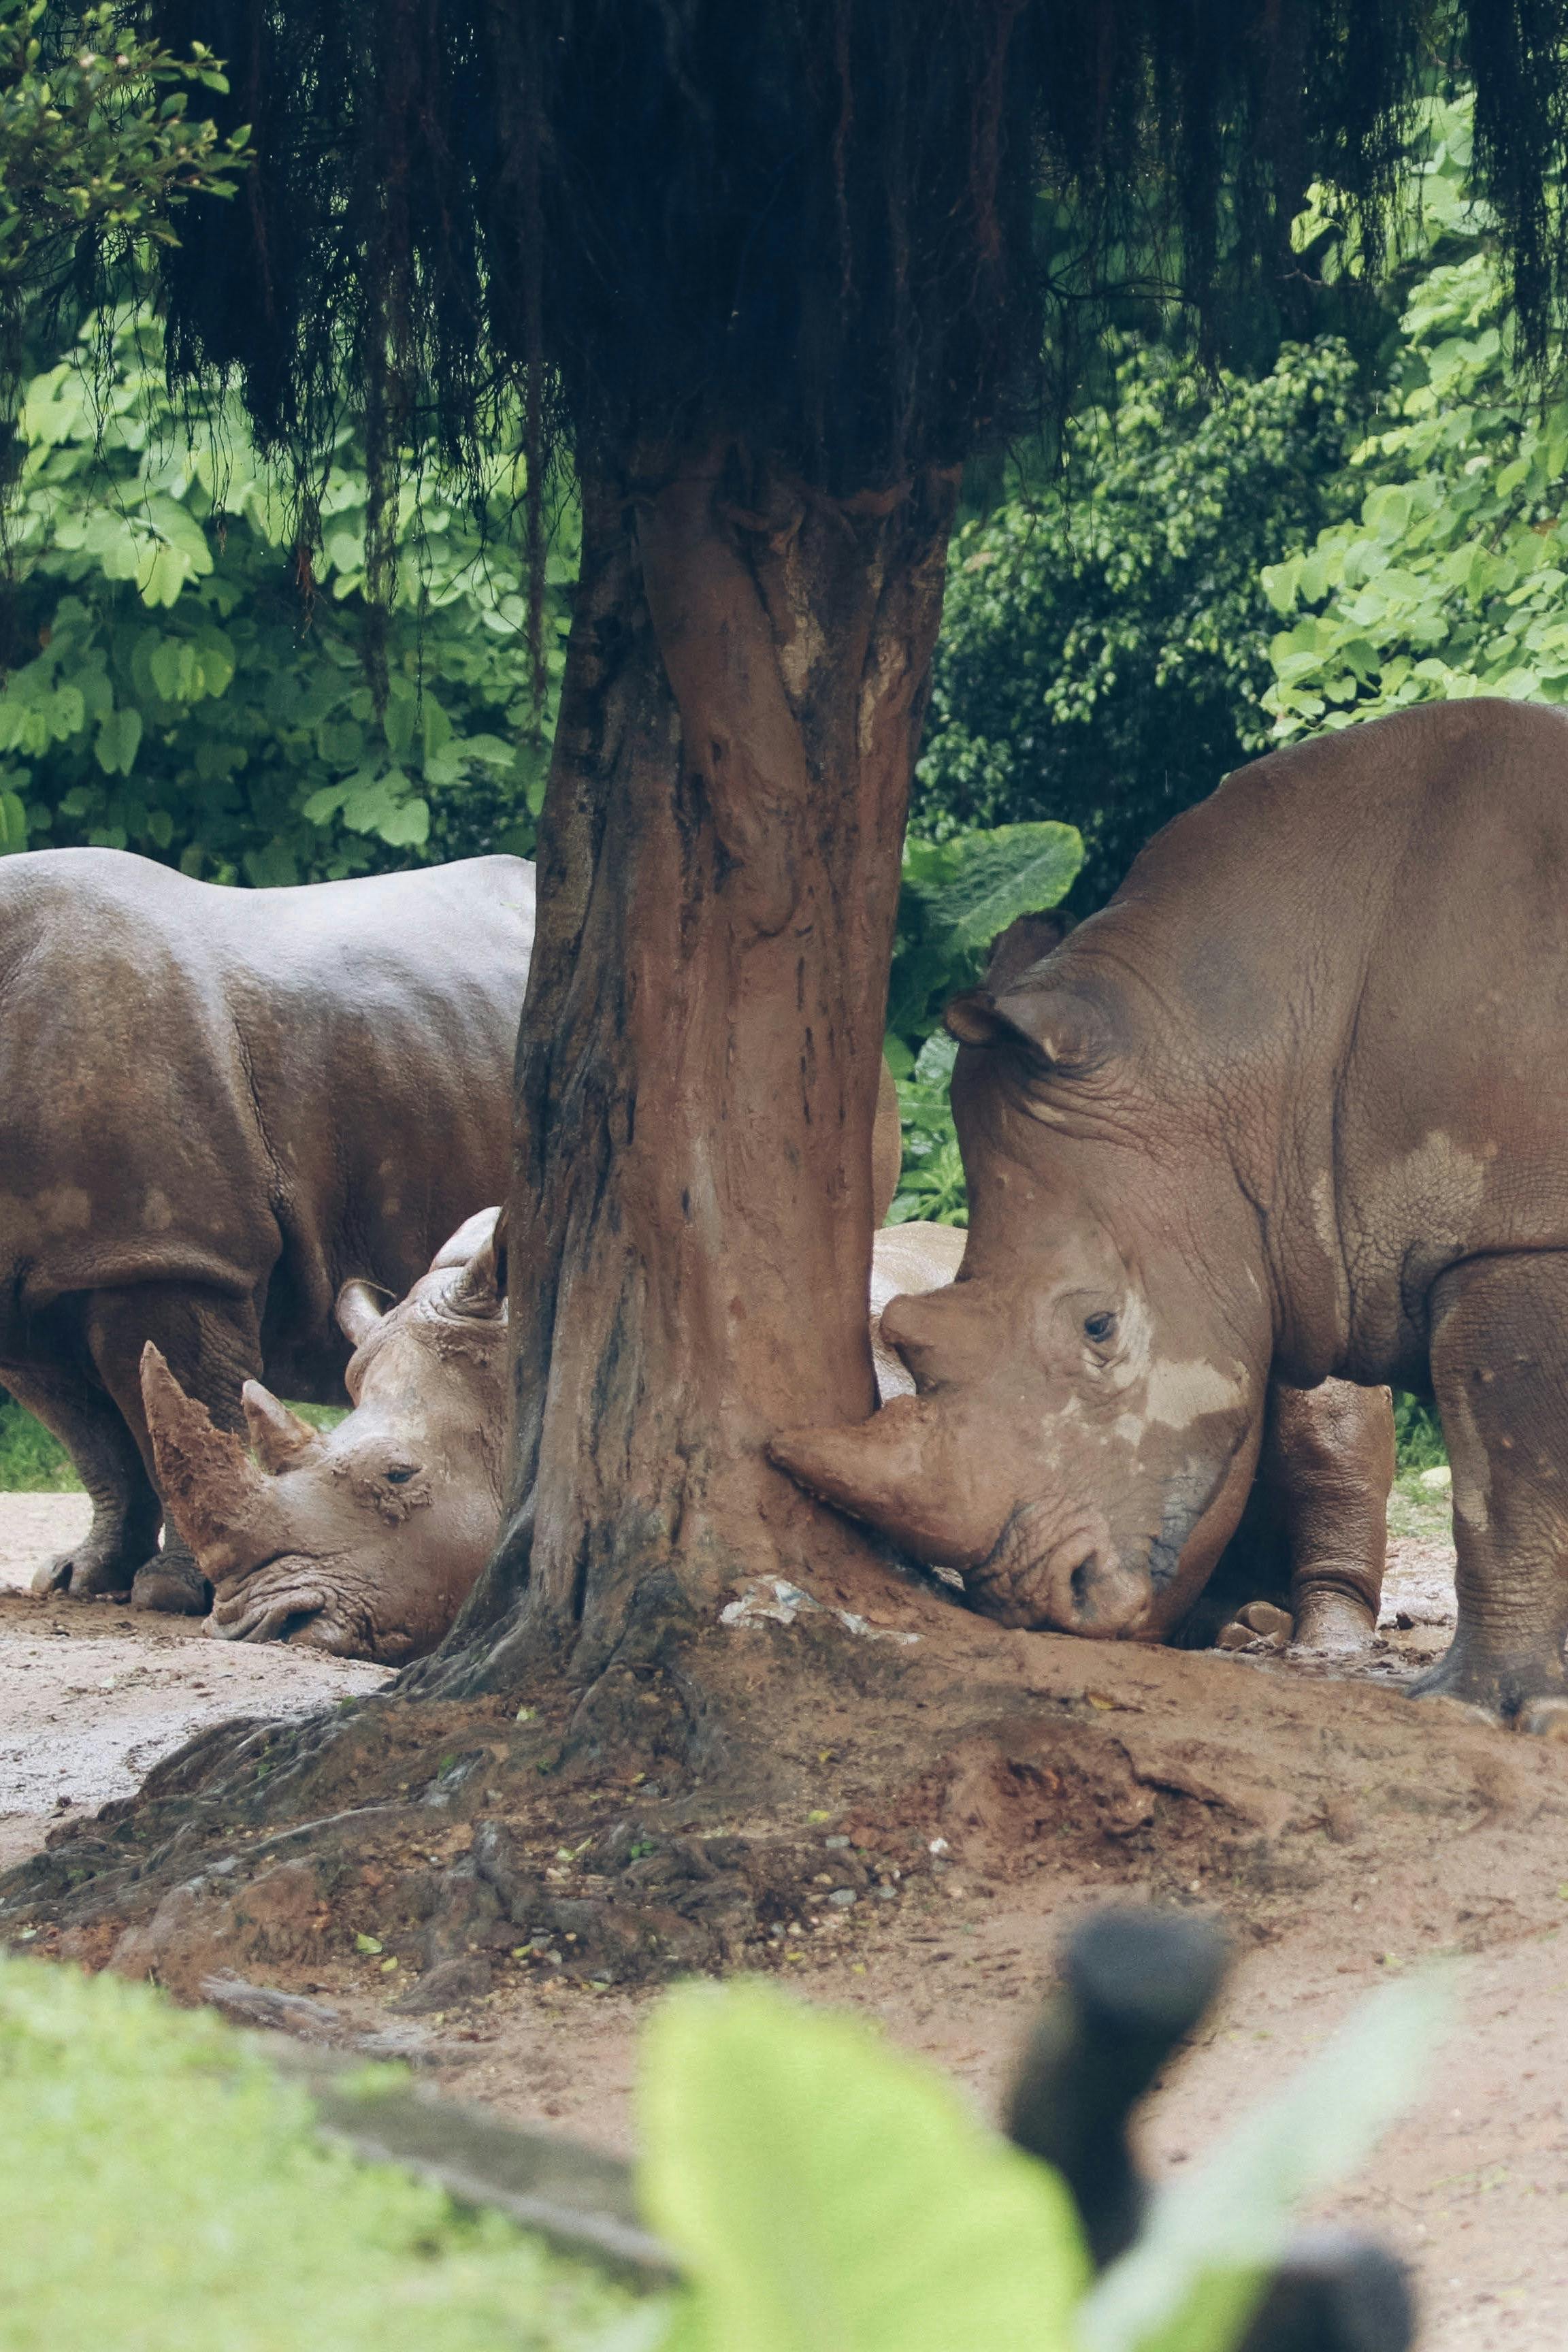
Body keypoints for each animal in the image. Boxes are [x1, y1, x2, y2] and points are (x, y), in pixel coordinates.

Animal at [0, 846, 534, 1614]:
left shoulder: (168, 1254)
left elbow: (167, 1403)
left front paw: (170, 1594)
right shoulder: (46, 1278)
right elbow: (90, 1435)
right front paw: (80, 1580)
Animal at [773, 699, 1568, 1727]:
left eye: (1099, 1327)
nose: (1035, 1597)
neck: (1236, 1041)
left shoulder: (1514, 1232)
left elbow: (1507, 1473)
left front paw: (1483, 1708)